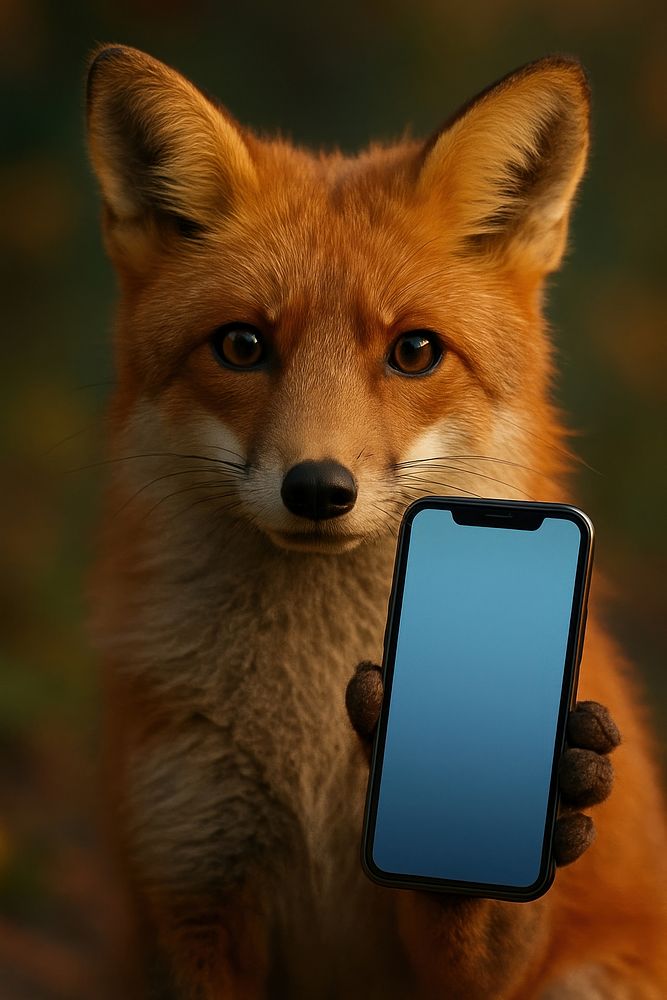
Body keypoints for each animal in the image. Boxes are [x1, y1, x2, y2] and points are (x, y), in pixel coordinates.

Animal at [85, 44, 667, 999]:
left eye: (414, 352)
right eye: (241, 345)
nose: (318, 489)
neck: (312, 750)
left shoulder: (476, 971)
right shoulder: (190, 889)